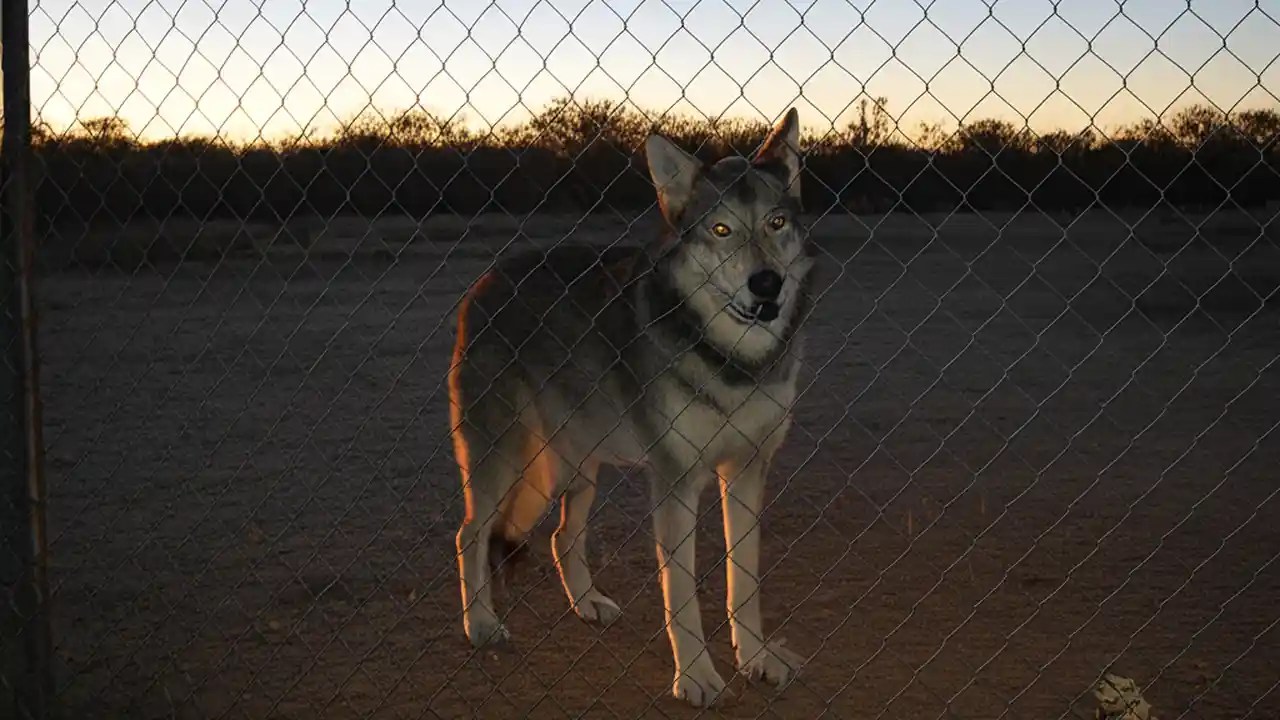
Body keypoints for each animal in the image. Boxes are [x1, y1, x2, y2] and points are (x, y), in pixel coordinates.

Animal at [448, 108, 814, 707]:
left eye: (777, 222)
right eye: (721, 230)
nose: (767, 284)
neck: (733, 361)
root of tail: (486, 281)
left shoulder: (748, 470)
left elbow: (745, 581)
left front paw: (756, 659)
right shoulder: (676, 482)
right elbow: (681, 594)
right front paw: (696, 678)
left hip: (573, 468)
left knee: (560, 536)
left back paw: (587, 605)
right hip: (505, 462)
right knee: (471, 534)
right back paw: (479, 625)